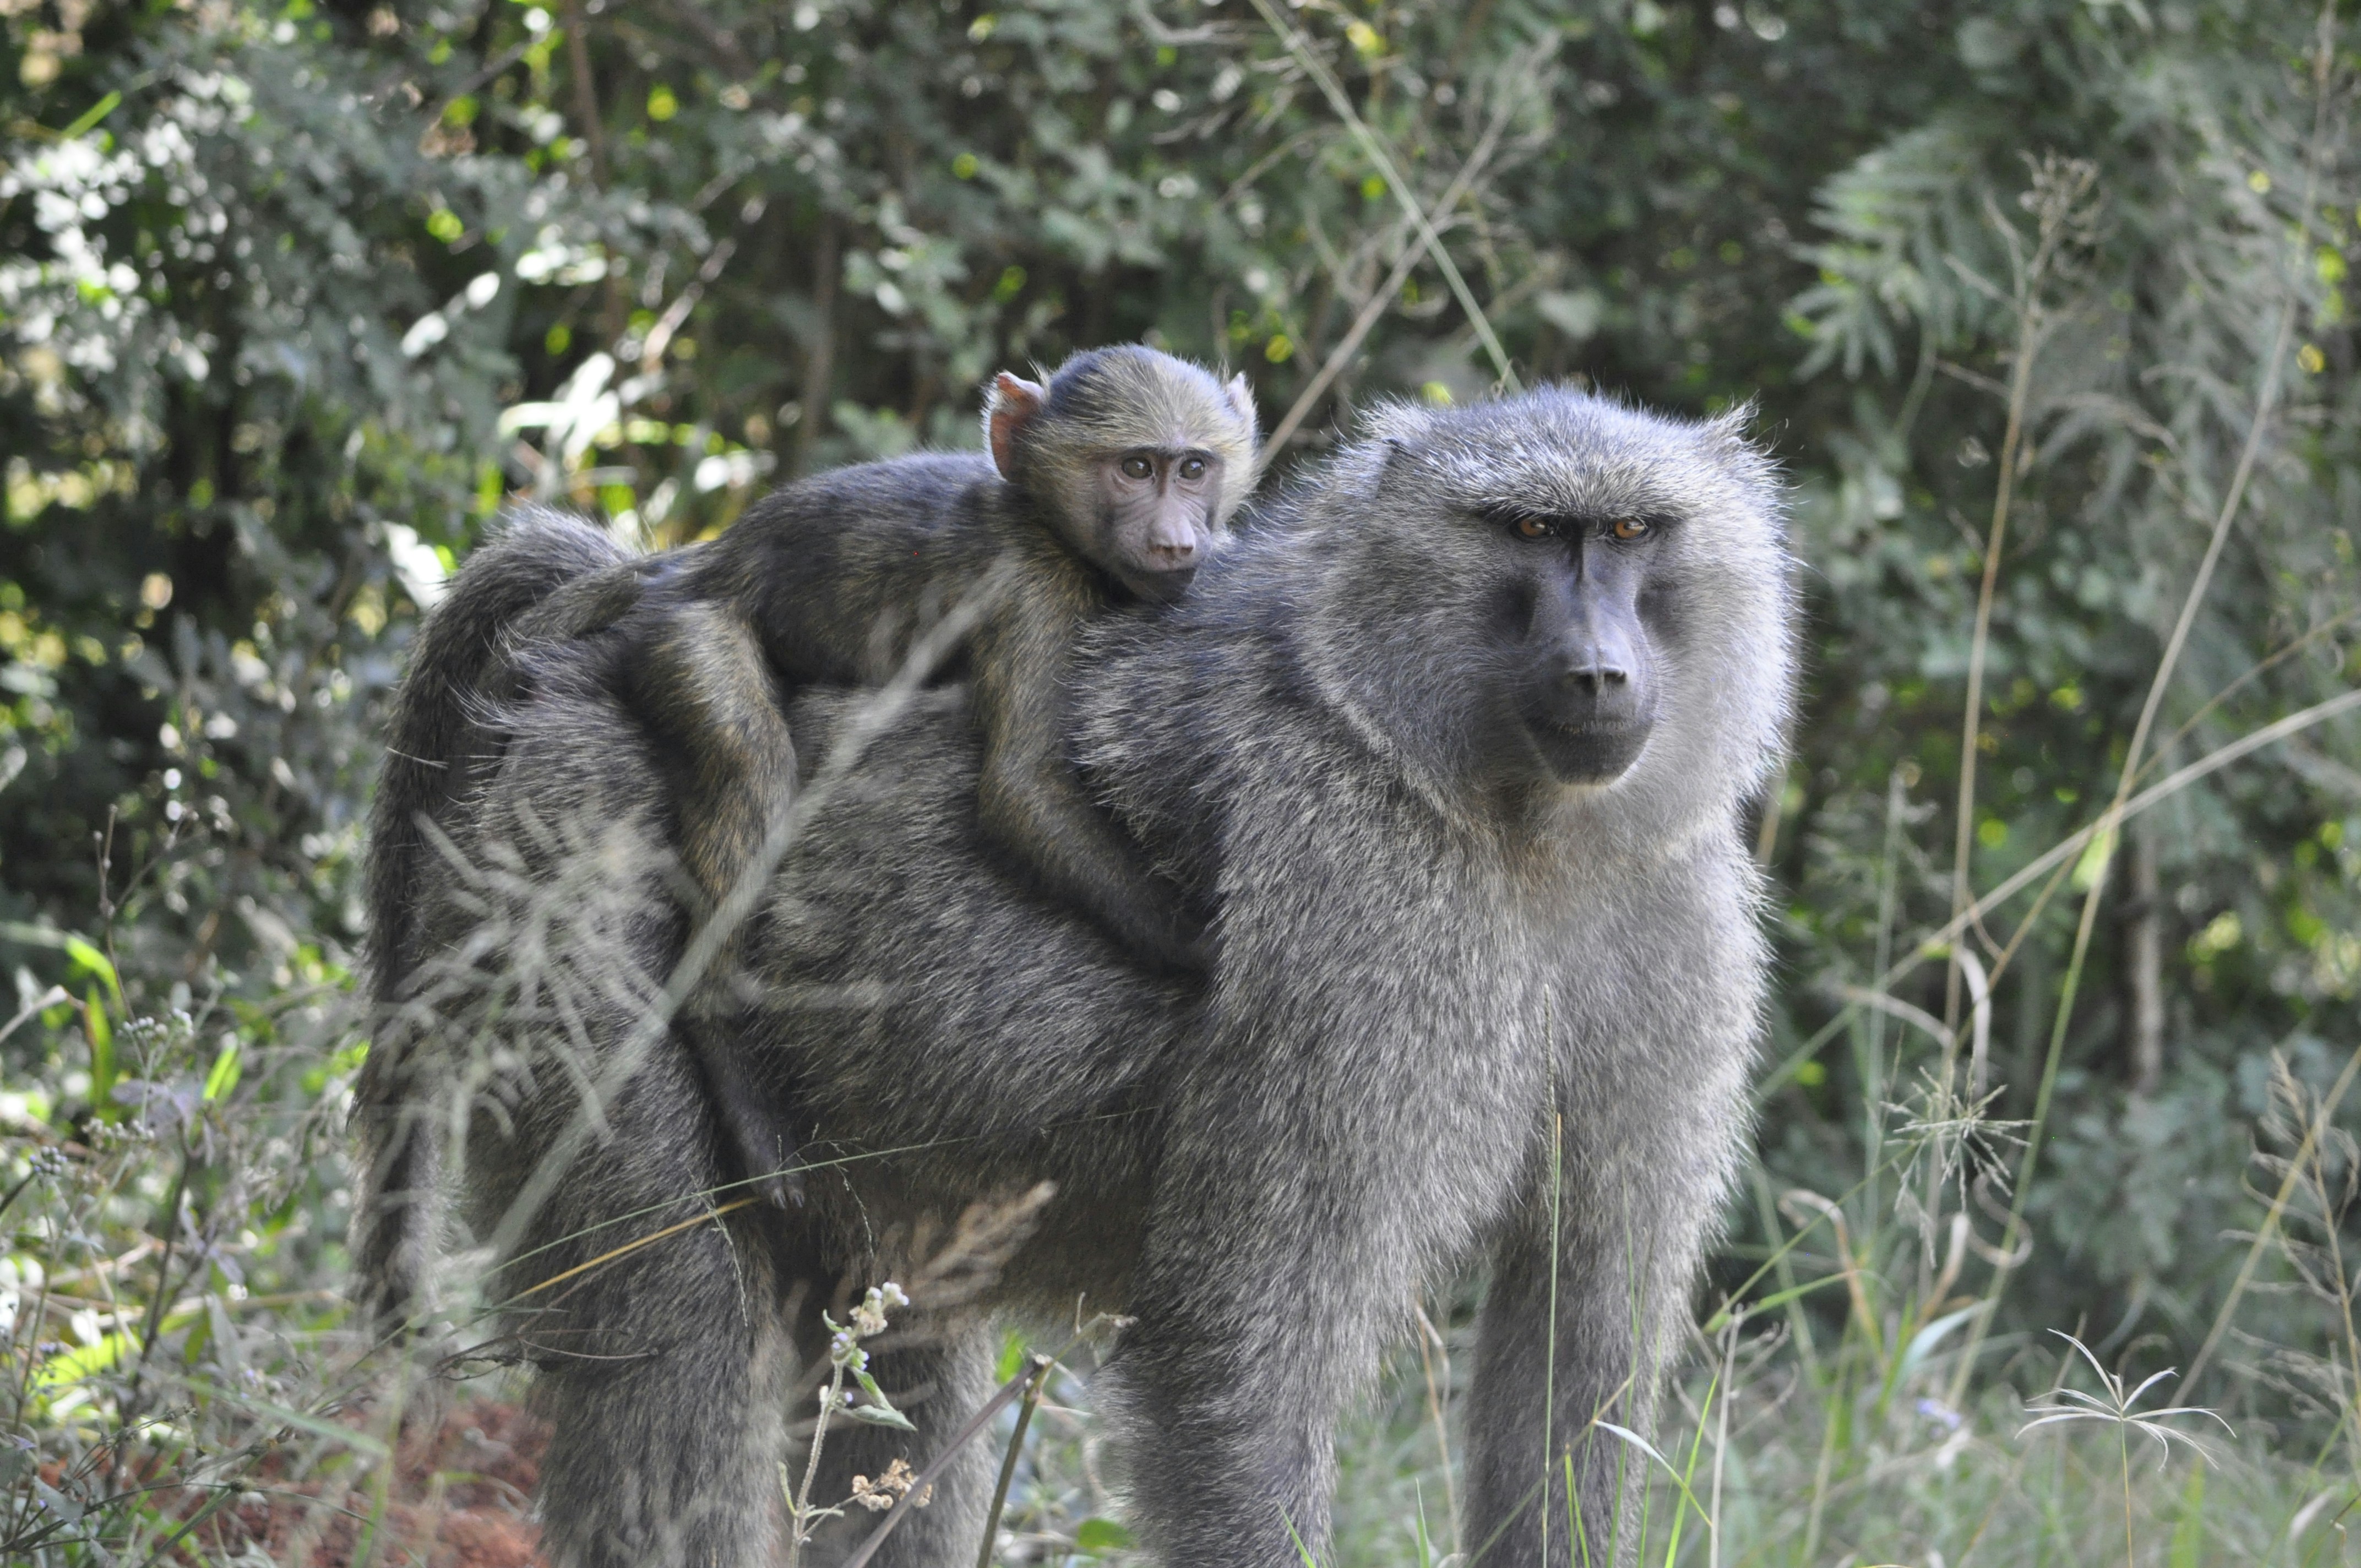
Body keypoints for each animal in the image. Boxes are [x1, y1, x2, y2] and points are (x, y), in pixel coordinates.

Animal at [357, 383, 1795, 1568]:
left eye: (1630, 534)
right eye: (1527, 531)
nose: (1599, 671)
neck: (1513, 821)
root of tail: (593, 635)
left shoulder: (1667, 916)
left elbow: (1574, 1361)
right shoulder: (1351, 925)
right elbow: (1238, 1369)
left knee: (888, 1373)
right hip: (561, 879)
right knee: (669, 1359)